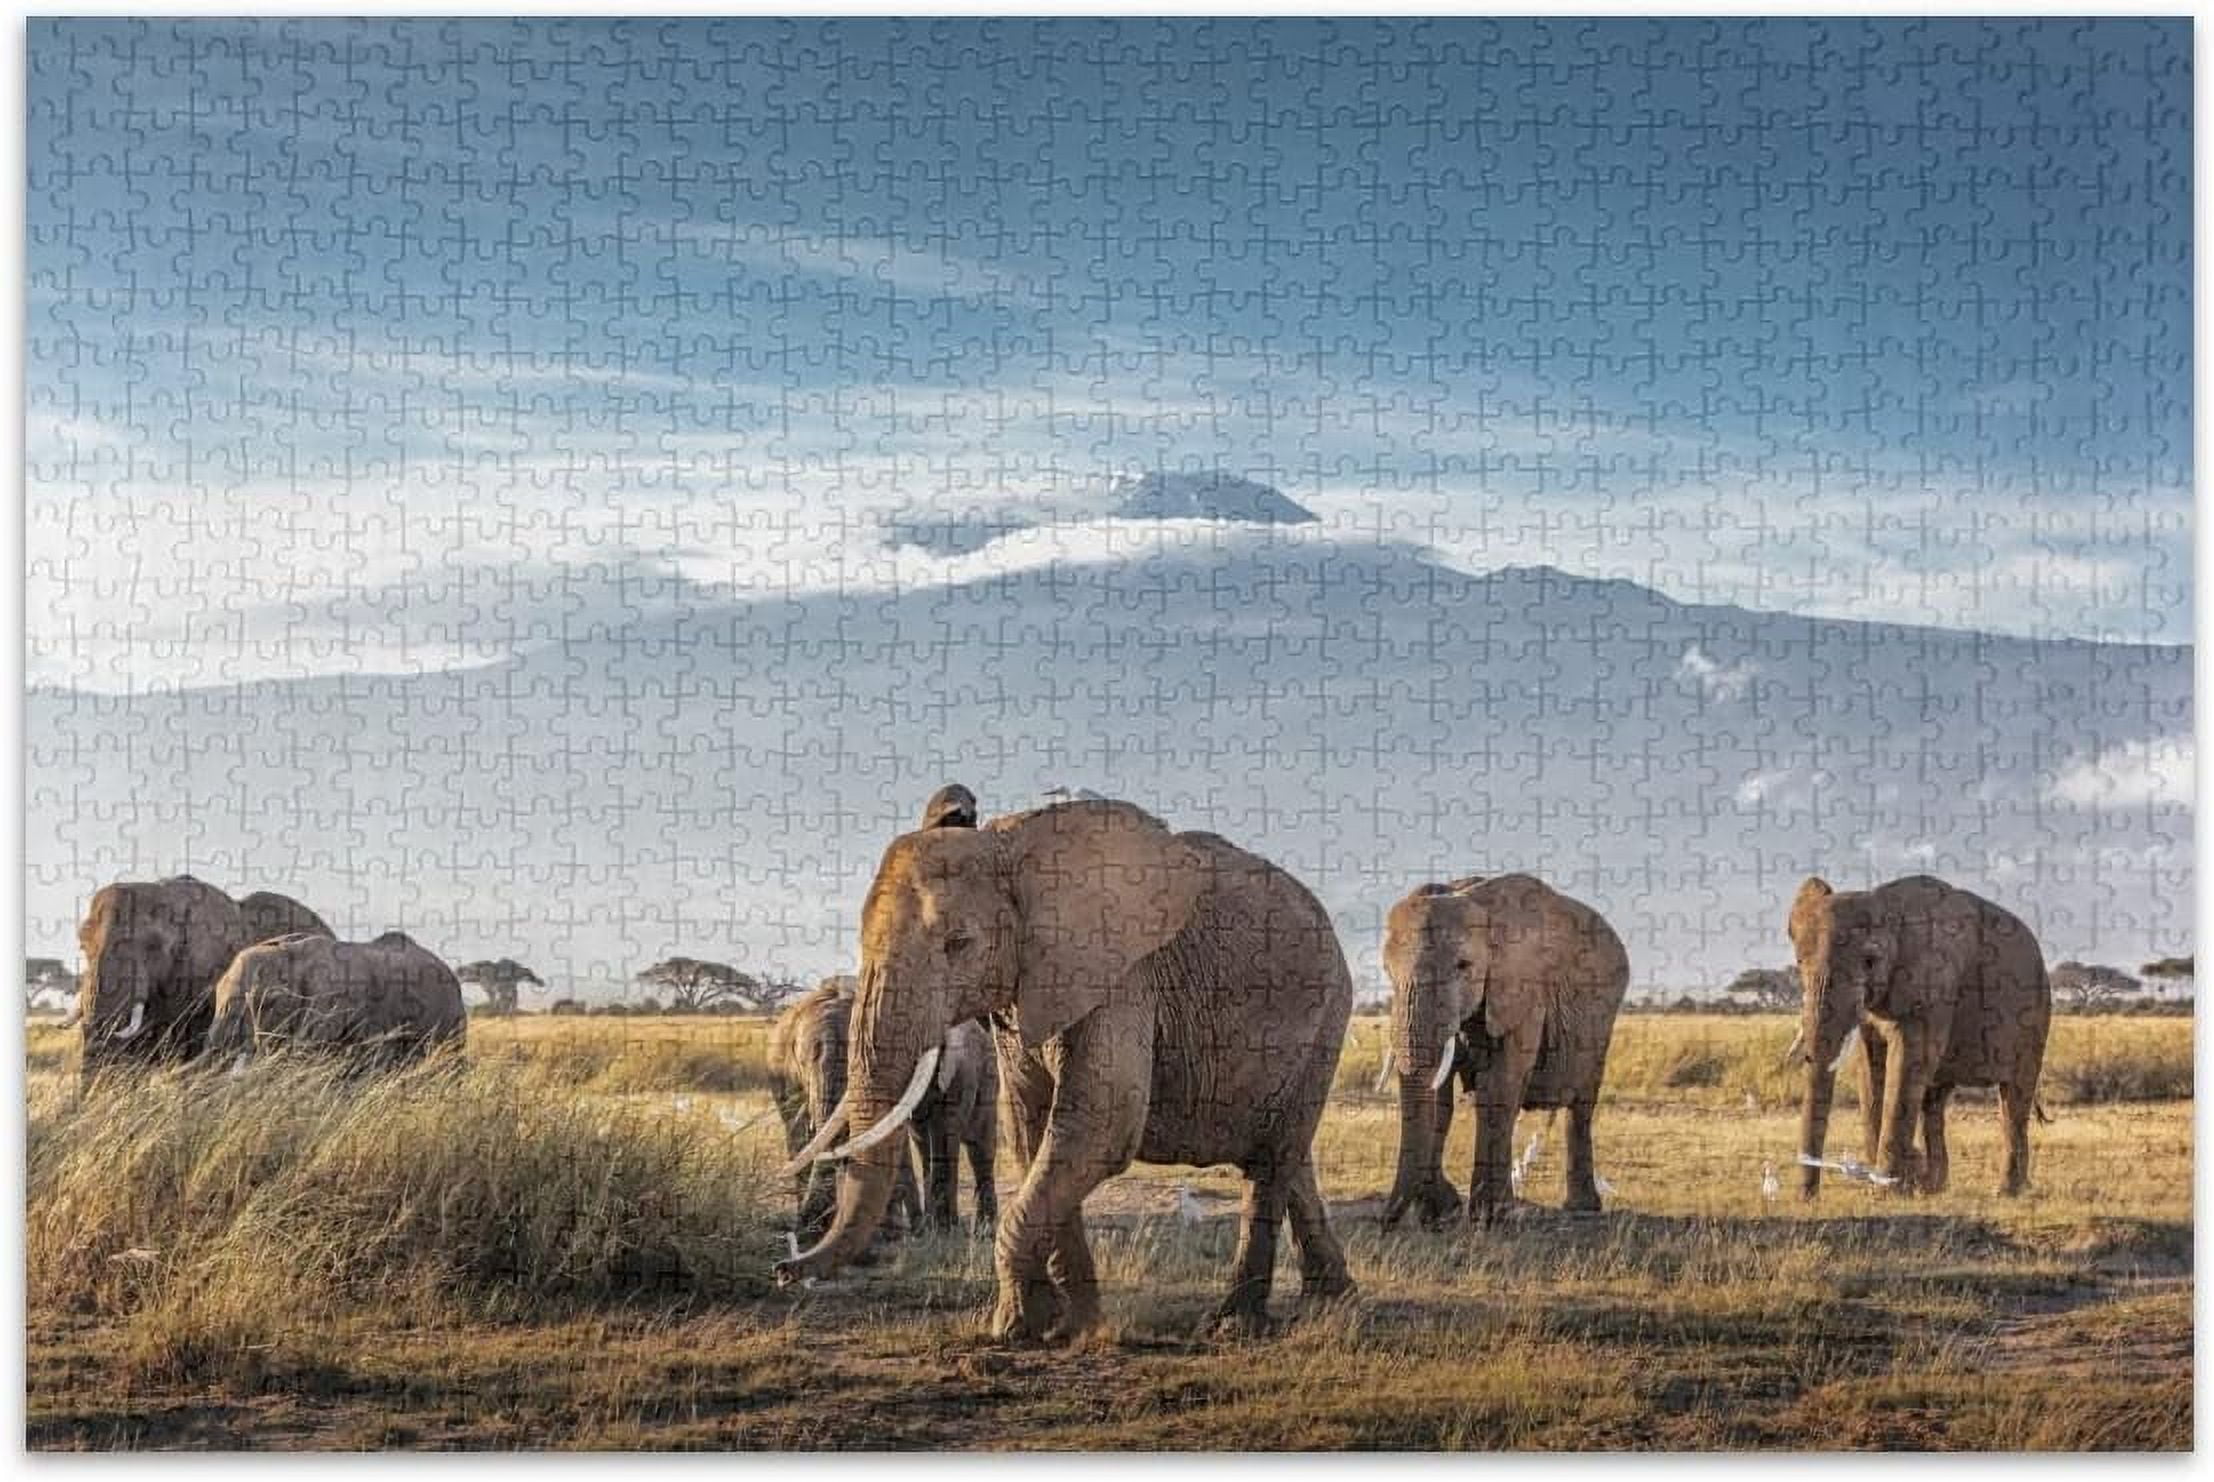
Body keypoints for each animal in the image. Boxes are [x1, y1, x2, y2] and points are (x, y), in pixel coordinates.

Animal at [774, 798, 1356, 1341]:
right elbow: (1036, 1131)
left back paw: (1236, 1325)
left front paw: (1015, 1330)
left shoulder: (1121, 979)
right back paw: (1333, 1296)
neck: (1008, 847)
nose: (784, 1270)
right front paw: (1071, 1328)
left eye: (959, 944)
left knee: (1273, 1160)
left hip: (1329, 1015)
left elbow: (1098, 1127)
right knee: (1286, 1154)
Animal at [1379, 875, 1630, 1227]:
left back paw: (1581, 1207)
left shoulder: (1525, 992)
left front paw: (1490, 1216)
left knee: (1581, 1107)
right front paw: (1440, 1212)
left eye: (1463, 966)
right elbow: (1440, 1098)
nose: (1385, 1221)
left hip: (1601, 1023)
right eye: (1387, 971)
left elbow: (1498, 1087)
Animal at [1786, 875, 2051, 1197]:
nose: (1807, 1198)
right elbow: (1871, 1063)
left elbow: (1907, 1061)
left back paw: (2006, 1191)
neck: (1887, 904)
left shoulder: (1934, 984)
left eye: (1870, 961)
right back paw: (1933, 1187)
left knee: (2014, 1098)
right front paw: (1903, 1178)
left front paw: (1888, 1189)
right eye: (1800, 962)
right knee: (1934, 1100)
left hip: (2036, 1016)